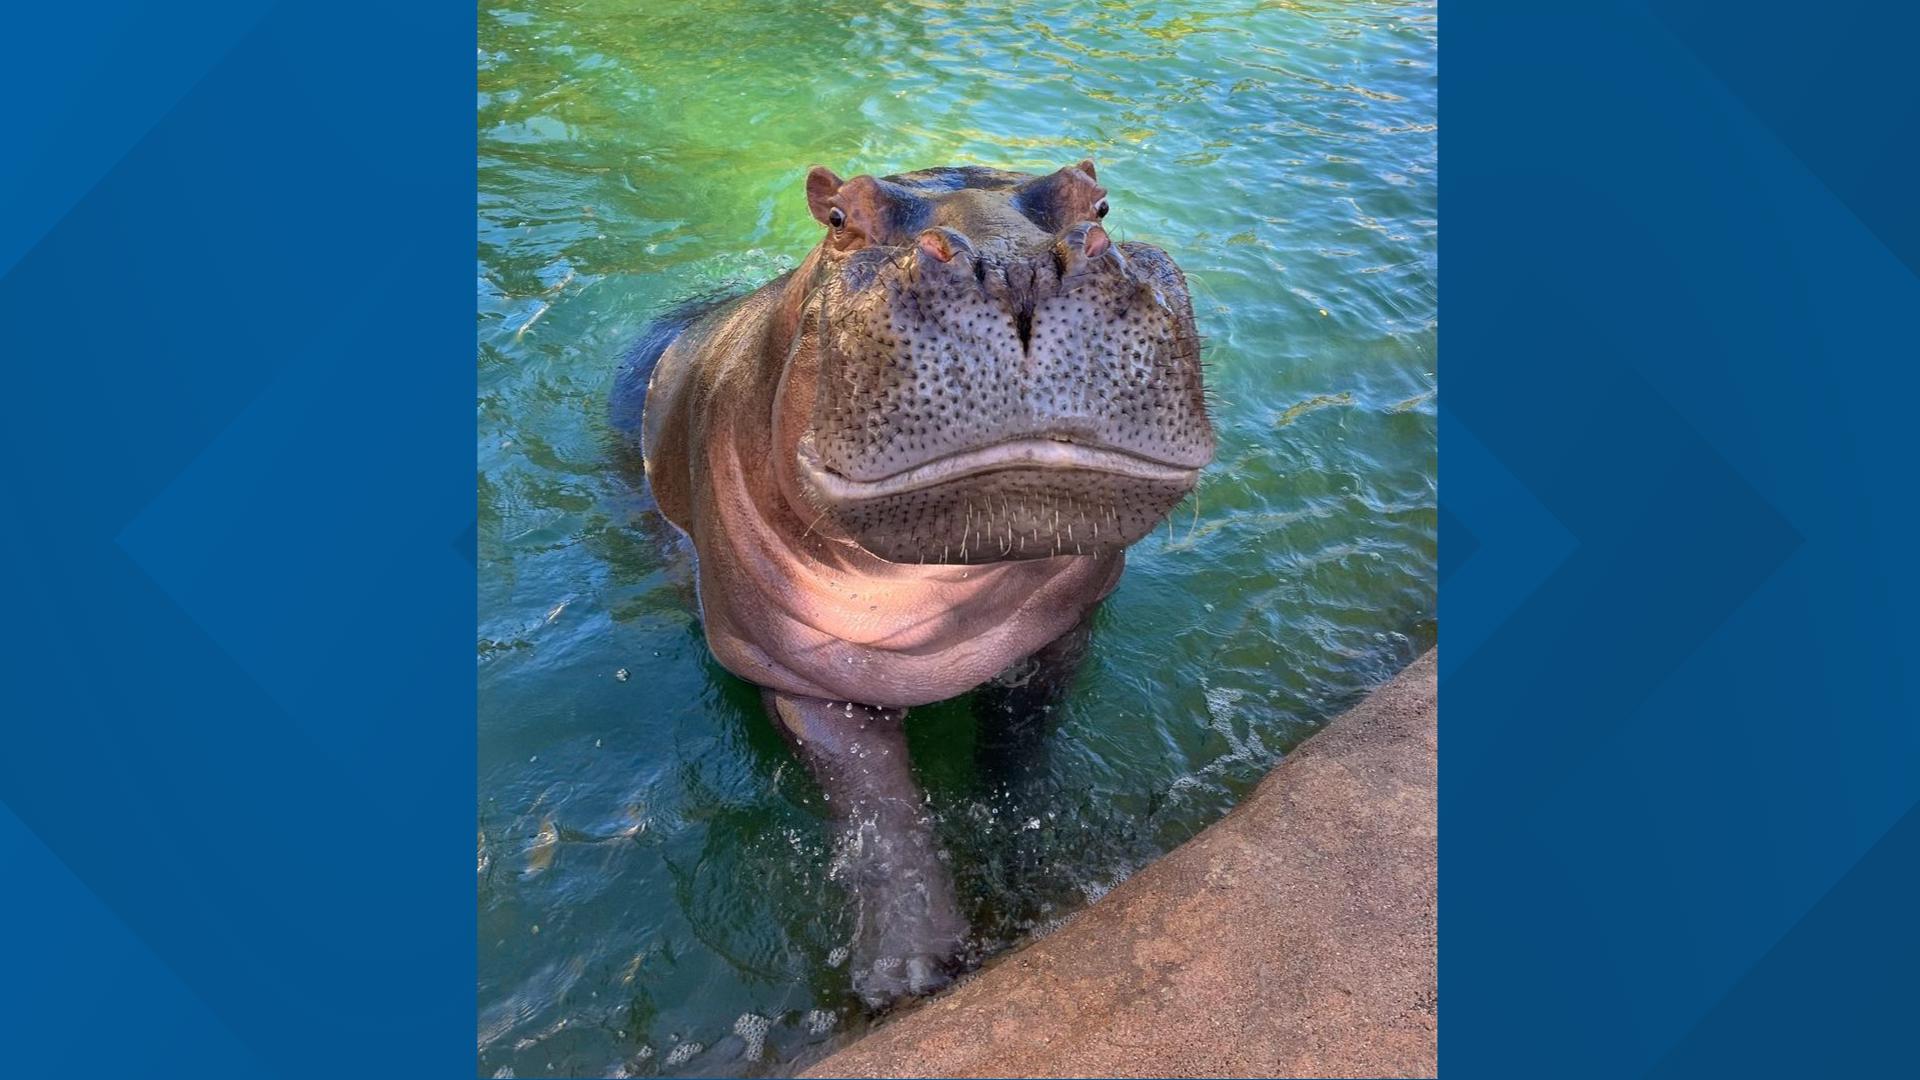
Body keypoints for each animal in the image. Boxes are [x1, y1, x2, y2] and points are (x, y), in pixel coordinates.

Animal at [611, 159, 1213, 1007]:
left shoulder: (1061, 632)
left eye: (1097, 204)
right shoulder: (803, 678)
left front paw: (1038, 878)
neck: (947, 606)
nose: (1021, 268)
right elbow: (879, 807)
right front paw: (909, 974)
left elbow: (1024, 755)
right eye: (838, 218)